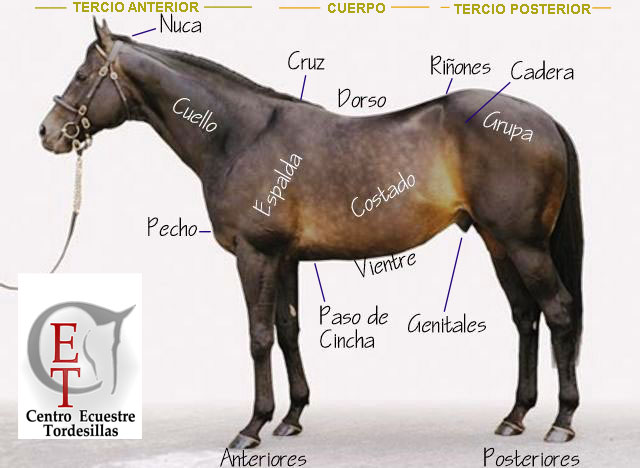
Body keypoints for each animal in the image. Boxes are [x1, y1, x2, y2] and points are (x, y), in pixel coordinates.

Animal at [39, 19, 584, 449]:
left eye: (82, 76)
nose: (47, 132)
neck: (240, 137)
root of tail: (545, 121)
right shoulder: (285, 258)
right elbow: (288, 330)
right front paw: (292, 417)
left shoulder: (254, 254)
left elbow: (258, 336)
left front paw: (252, 427)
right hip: (498, 244)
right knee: (526, 317)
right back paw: (515, 416)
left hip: (524, 245)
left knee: (557, 311)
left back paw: (561, 421)